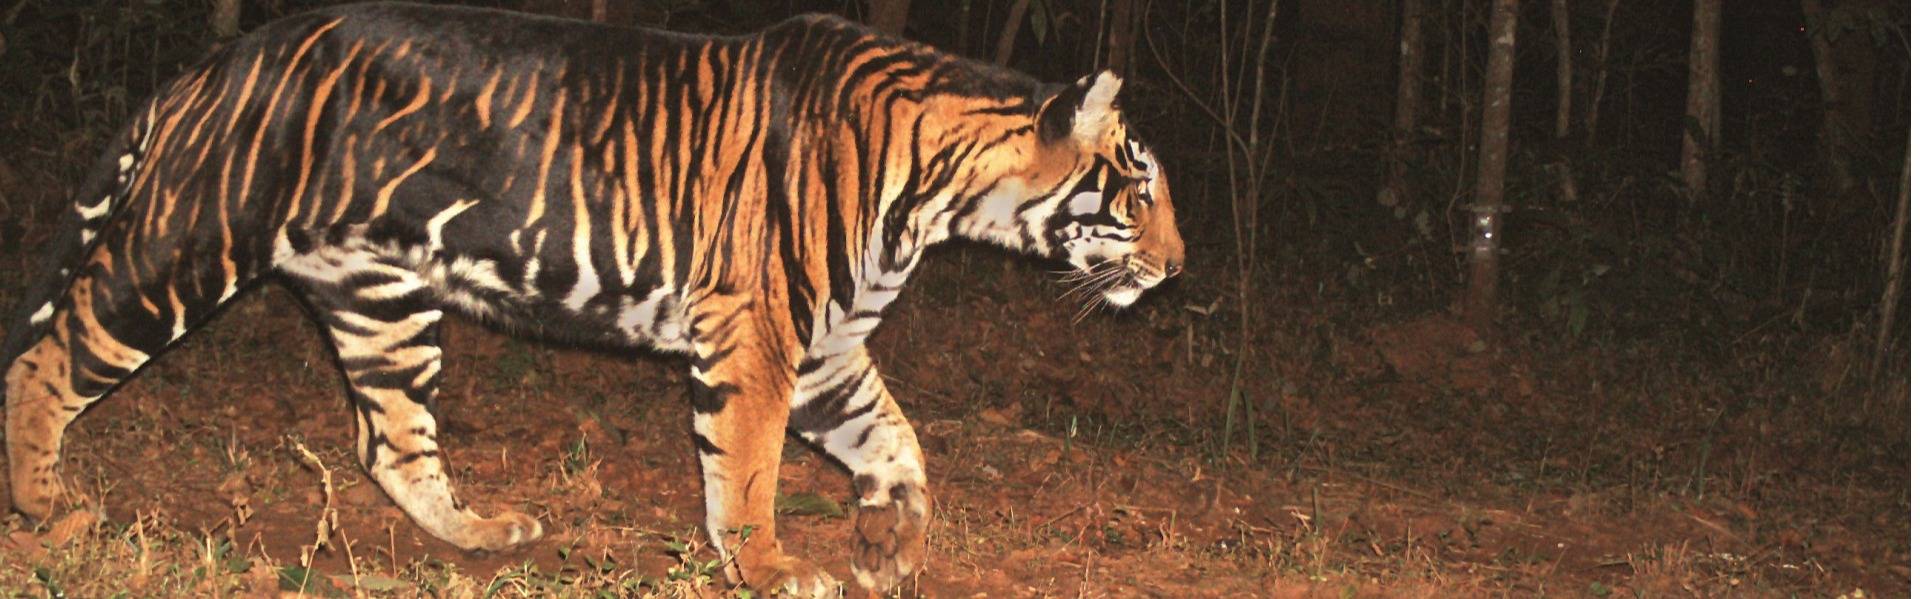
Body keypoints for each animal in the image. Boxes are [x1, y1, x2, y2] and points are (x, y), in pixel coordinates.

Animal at [1, 2, 1183, 595]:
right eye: (1140, 189)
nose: (1177, 268)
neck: (941, 191)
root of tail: (223, 61)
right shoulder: (759, 336)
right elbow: (747, 473)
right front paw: (772, 566)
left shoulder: (830, 350)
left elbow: (897, 442)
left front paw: (888, 545)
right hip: (187, 247)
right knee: (49, 354)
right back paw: (47, 507)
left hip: (381, 300)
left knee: (391, 441)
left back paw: (483, 534)